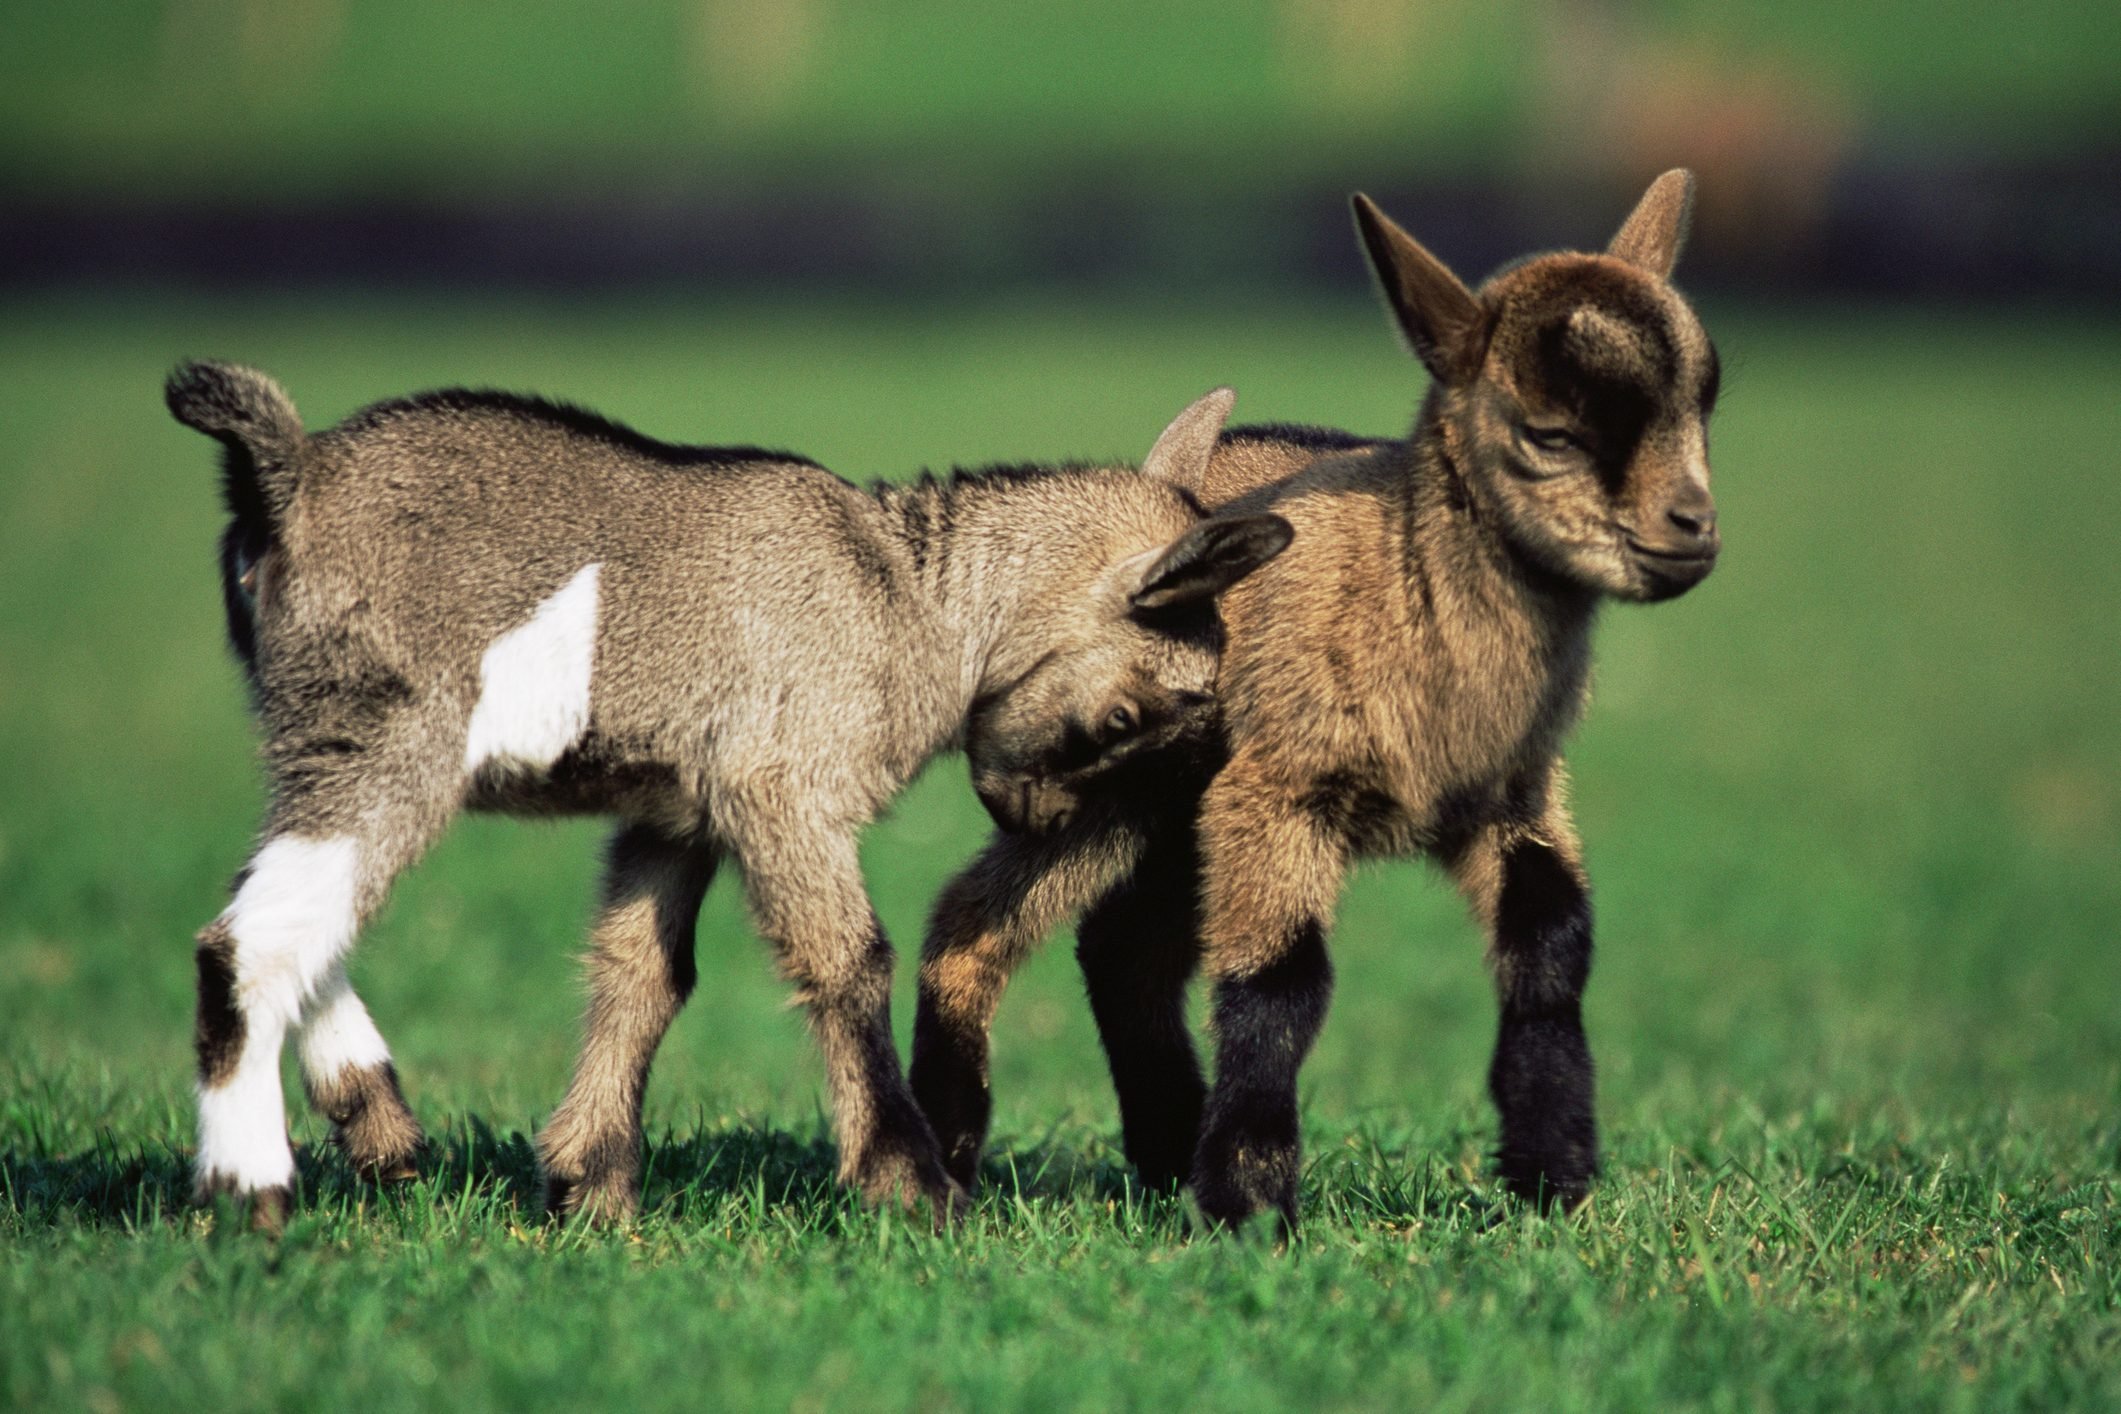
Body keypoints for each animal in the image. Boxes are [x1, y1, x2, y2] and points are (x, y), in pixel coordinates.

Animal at [164, 367, 1291, 1230]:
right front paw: (912, 1188)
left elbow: (644, 975)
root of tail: (289, 474)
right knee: (249, 939)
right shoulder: (781, 787)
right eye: (1125, 715)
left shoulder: (675, 813)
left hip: (318, 739)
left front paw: (590, 1187)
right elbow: (849, 960)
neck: (904, 595)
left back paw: (377, 1120)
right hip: (387, 733)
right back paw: (252, 1191)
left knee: (293, 913)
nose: (1037, 822)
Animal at [909, 171, 1721, 1229]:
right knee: (973, 926)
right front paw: (1251, 1207)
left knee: (1123, 950)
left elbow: (1552, 950)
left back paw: (1165, 1150)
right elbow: (1280, 983)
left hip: (1171, 804)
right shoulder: (1278, 791)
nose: (1693, 530)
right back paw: (956, 1151)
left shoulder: (1517, 794)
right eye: (1548, 433)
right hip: (1094, 782)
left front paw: (1554, 1175)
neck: (1402, 584)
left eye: (1705, 402)